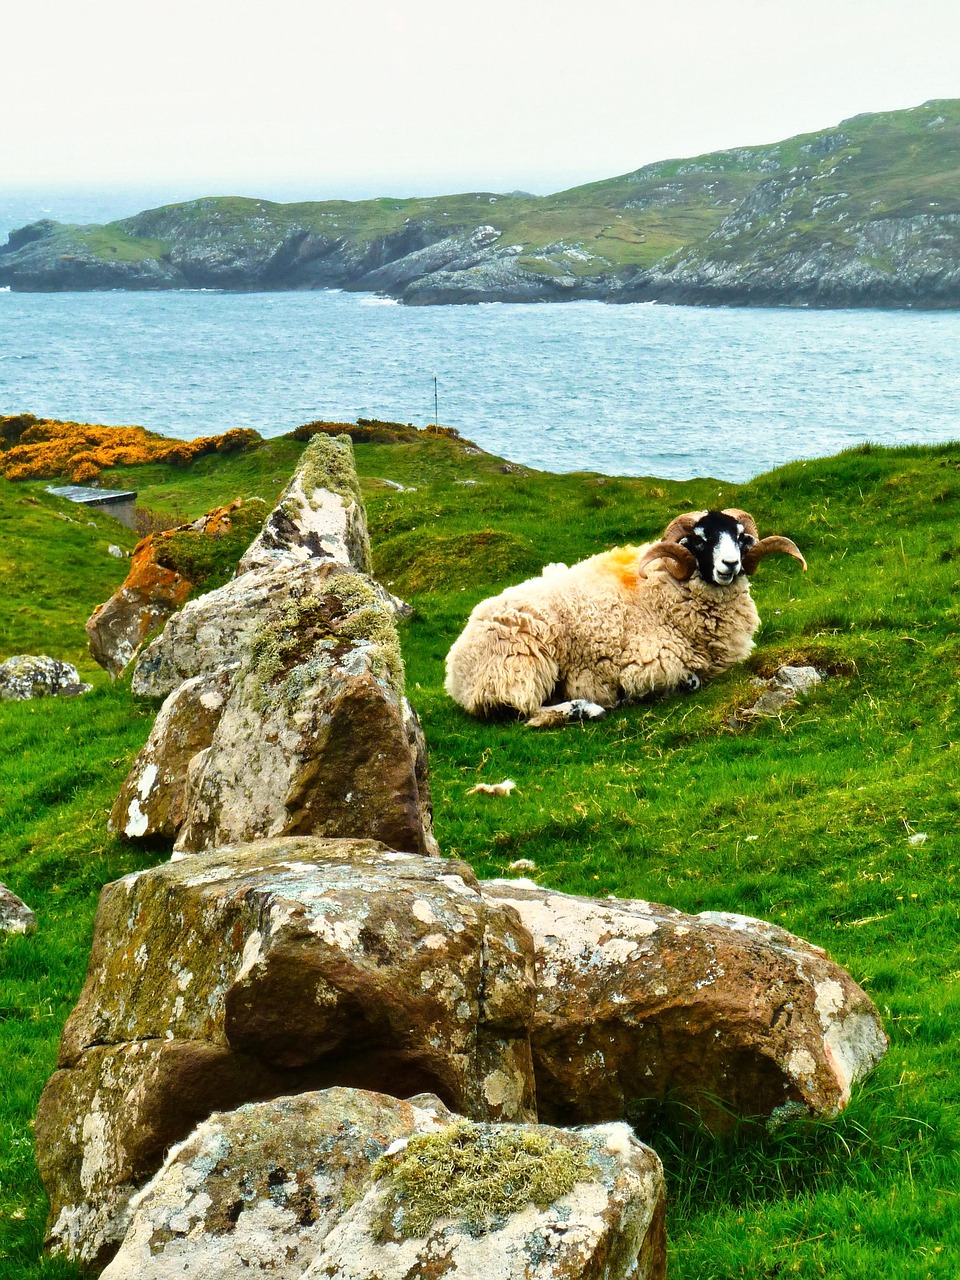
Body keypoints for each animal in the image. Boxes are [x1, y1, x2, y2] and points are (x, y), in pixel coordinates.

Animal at [444, 509, 806, 719]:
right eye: (700, 541)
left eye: (740, 537)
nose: (730, 564)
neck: (660, 592)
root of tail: (456, 671)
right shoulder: (646, 665)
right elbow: (675, 679)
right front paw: (676, 685)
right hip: (520, 664)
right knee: (524, 711)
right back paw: (583, 709)